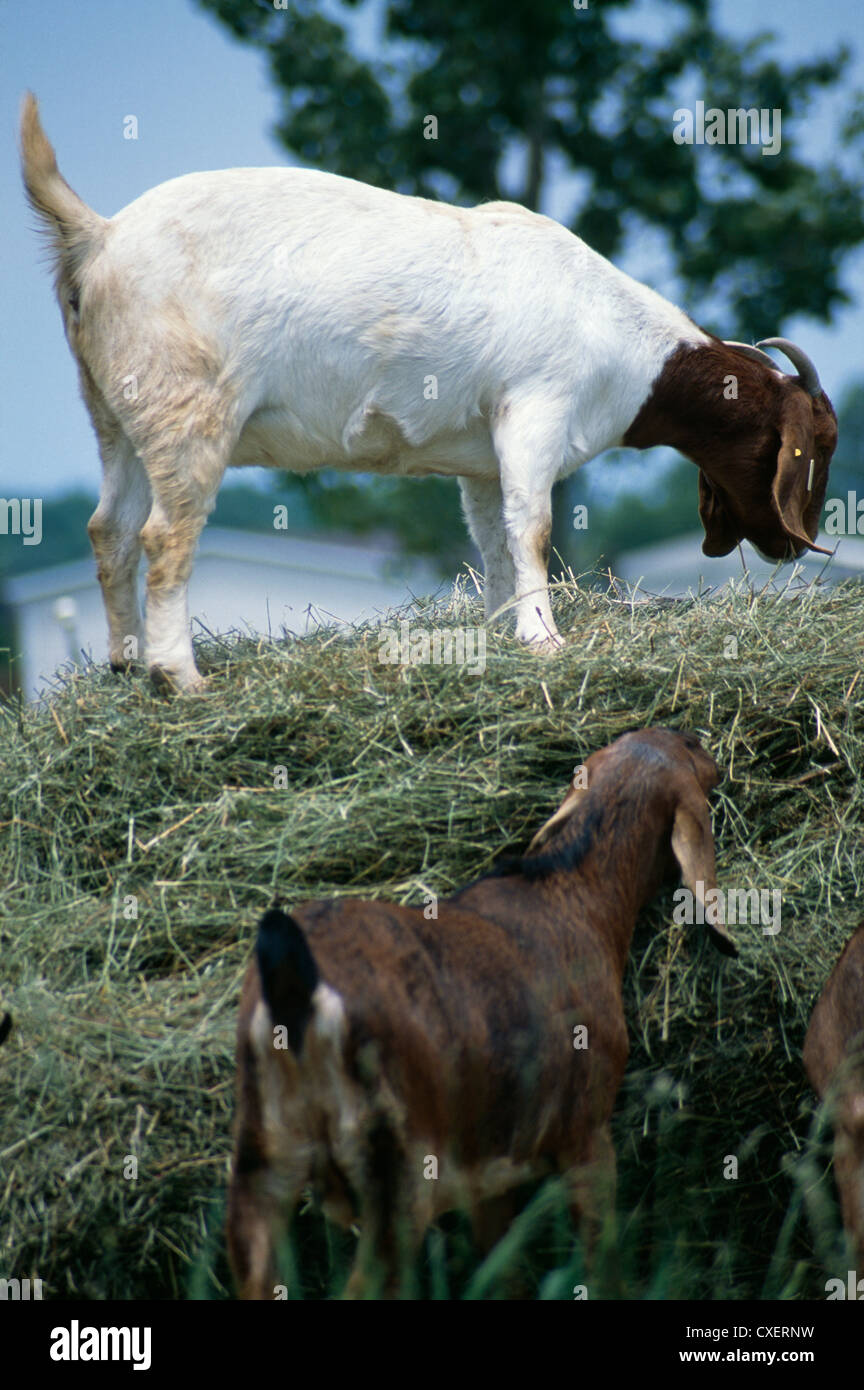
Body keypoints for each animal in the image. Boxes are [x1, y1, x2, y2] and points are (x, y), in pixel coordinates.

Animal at [21, 93, 837, 689]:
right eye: (814, 445)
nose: (790, 548)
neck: (613, 332)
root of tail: (99, 235)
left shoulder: (482, 456)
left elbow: (496, 540)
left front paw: (507, 629)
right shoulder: (535, 410)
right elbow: (534, 526)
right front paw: (546, 640)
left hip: (118, 417)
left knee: (108, 529)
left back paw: (124, 665)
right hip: (188, 411)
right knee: (165, 536)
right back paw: (182, 678)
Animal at [226, 727, 736, 1298]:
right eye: (691, 749)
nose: (709, 747)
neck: (572, 893)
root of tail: (299, 991)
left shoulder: (490, 1169)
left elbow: (501, 1270)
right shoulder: (587, 1135)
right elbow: (601, 1261)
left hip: (262, 1164)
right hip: (397, 1180)